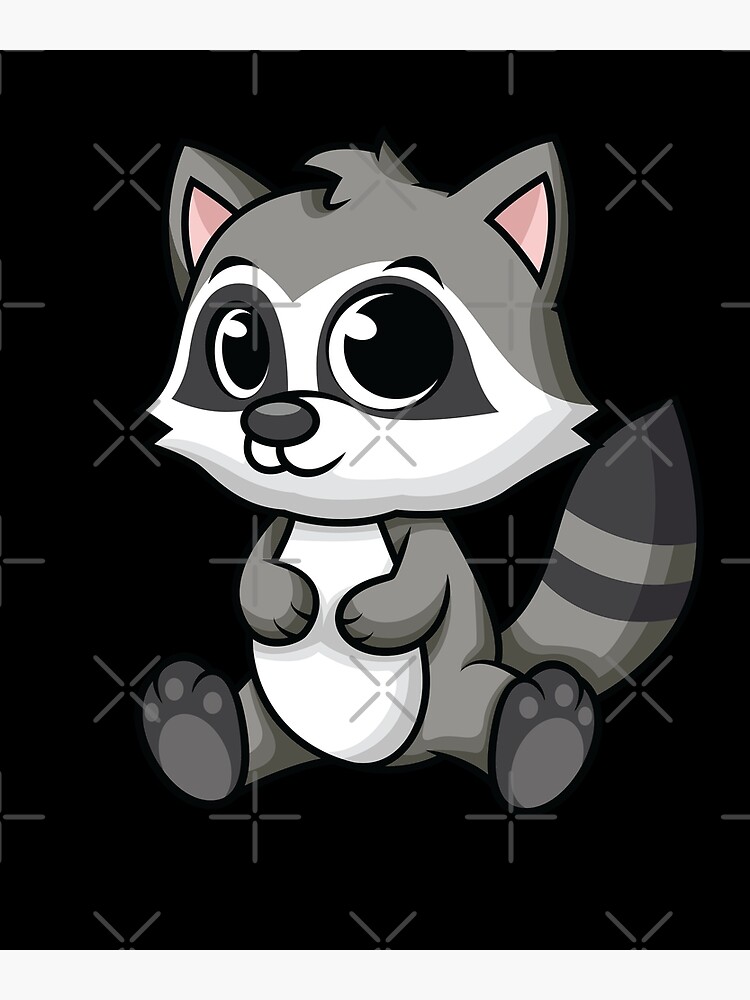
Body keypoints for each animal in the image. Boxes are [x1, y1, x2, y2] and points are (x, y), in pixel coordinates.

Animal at [141, 140, 696, 809]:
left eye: (384, 345)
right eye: (237, 345)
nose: (276, 421)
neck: (341, 522)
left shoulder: (426, 537)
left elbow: (426, 581)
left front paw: (372, 614)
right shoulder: (281, 528)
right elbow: (254, 571)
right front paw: (276, 602)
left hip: (460, 698)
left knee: (497, 715)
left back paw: (540, 732)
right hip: (273, 716)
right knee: (249, 731)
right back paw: (199, 727)